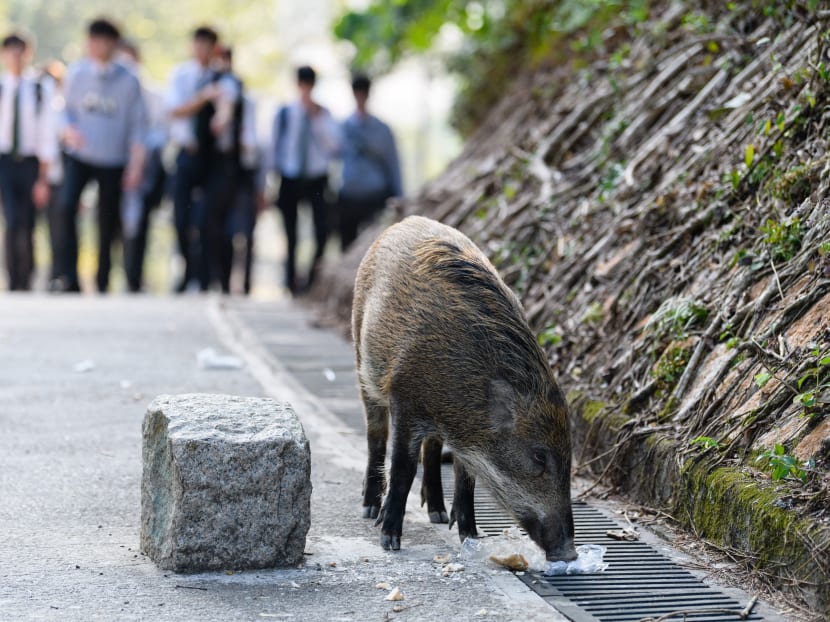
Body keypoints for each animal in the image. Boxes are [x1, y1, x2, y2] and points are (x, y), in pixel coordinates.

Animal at [351, 215, 577, 561]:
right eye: (539, 456)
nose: (570, 553)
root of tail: (399, 224)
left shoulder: (467, 433)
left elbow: (465, 477)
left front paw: (470, 536)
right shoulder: (406, 398)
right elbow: (403, 468)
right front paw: (389, 541)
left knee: (432, 449)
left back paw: (438, 513)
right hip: (363, 363)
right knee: (376, 438)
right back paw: (369, 509)